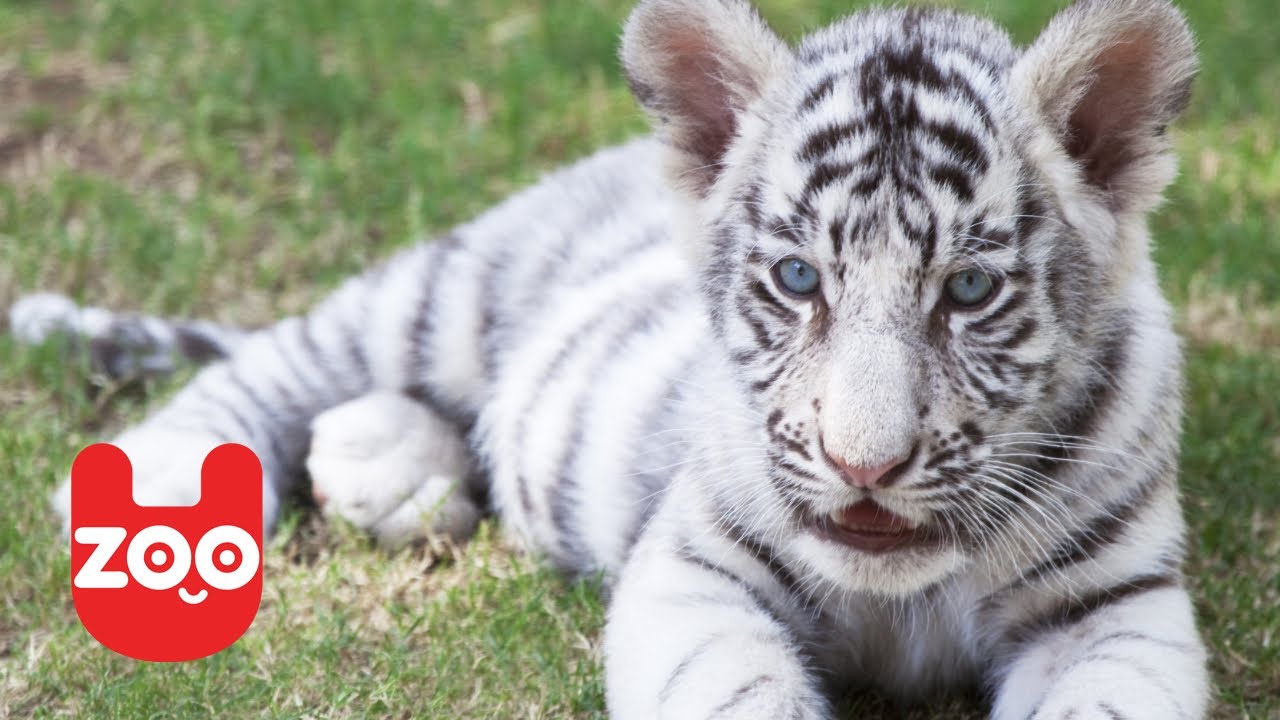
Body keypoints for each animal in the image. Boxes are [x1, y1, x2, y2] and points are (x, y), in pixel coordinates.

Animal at [13, 0, 1210, 717]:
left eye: (966, 291)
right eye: (797, 280)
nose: (863, 467)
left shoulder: (1109, 606)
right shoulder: (696, 567)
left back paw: (386, 467)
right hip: (449, 290)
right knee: (285, 356)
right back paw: (169, 490)